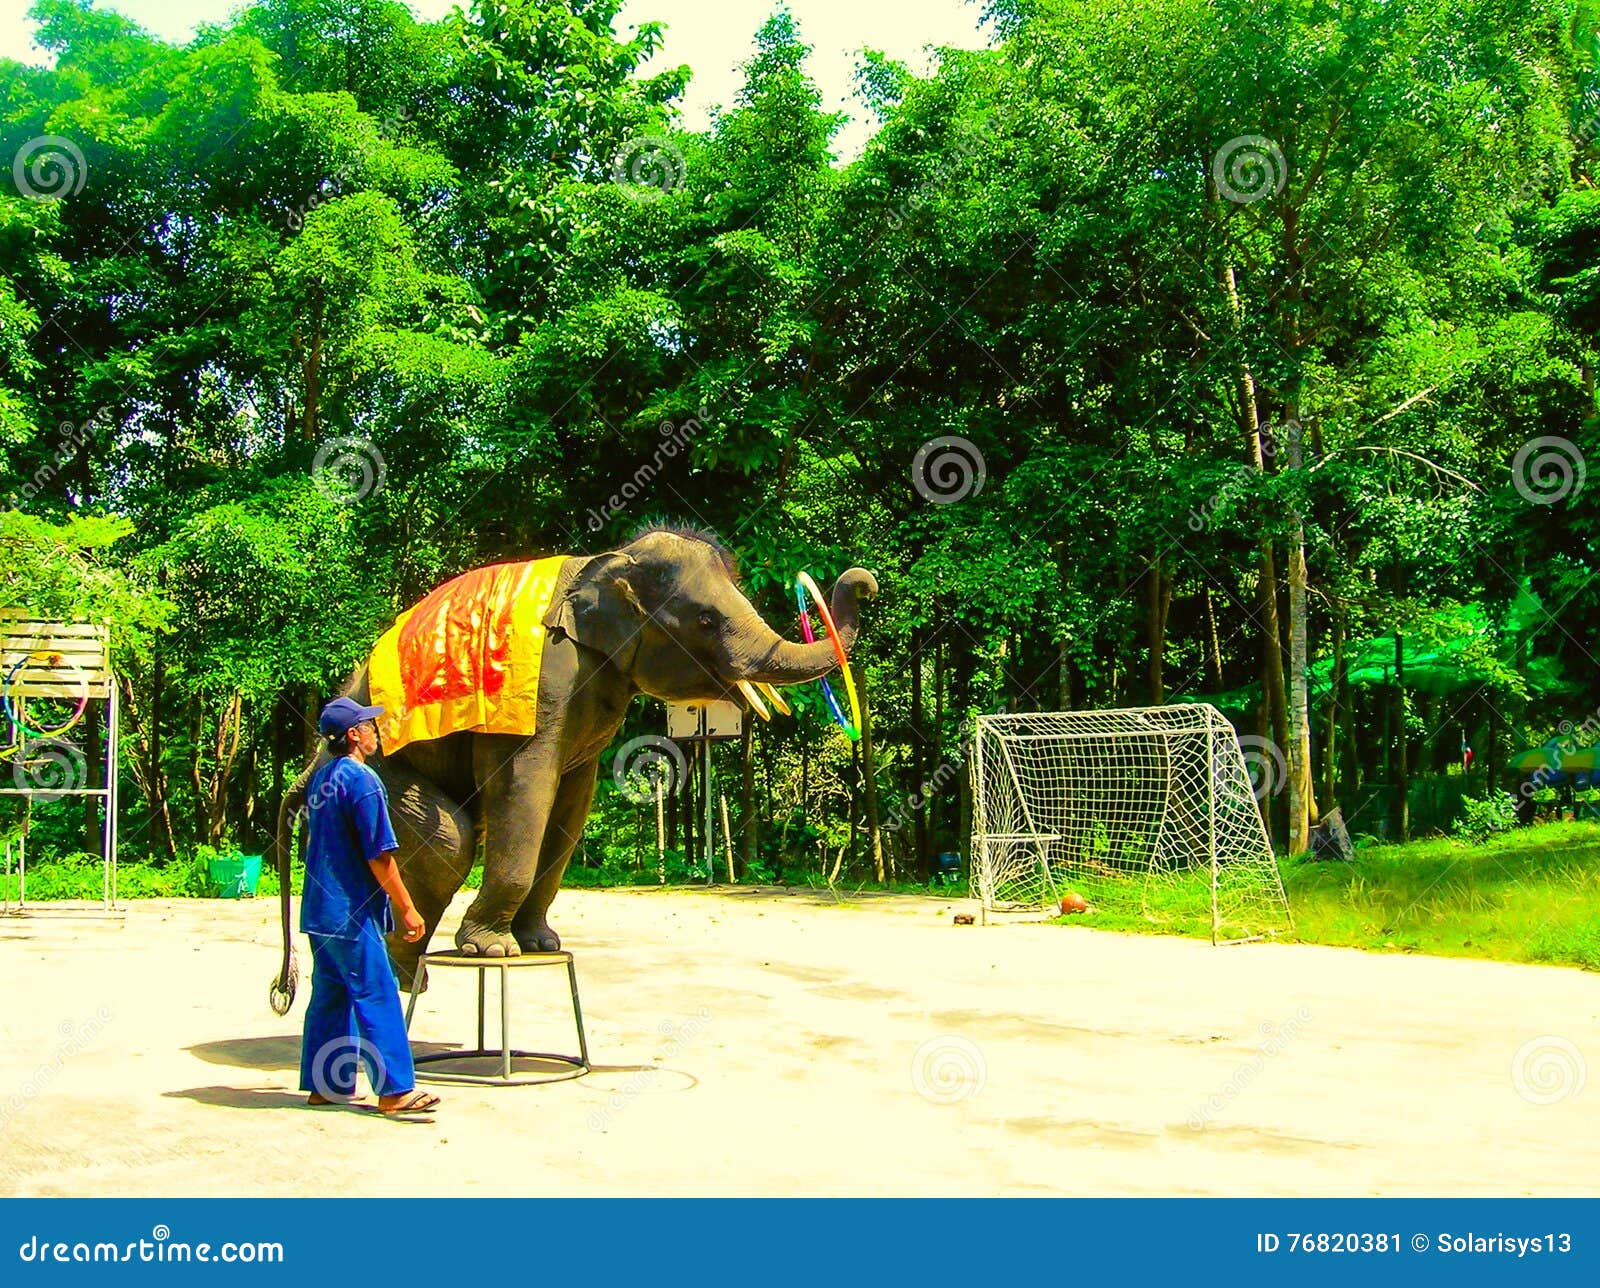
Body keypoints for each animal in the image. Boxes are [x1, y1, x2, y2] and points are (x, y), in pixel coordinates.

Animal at [271, 523, 876, 1006]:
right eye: (705, 621)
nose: (863, 581)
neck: (607, 559)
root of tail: (313, 759)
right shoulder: (541, 684)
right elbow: (527, 786)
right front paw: (493, 950)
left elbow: (572, 801)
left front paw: (540, 944)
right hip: (369, 771)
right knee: (449, 839)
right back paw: (401, 980)